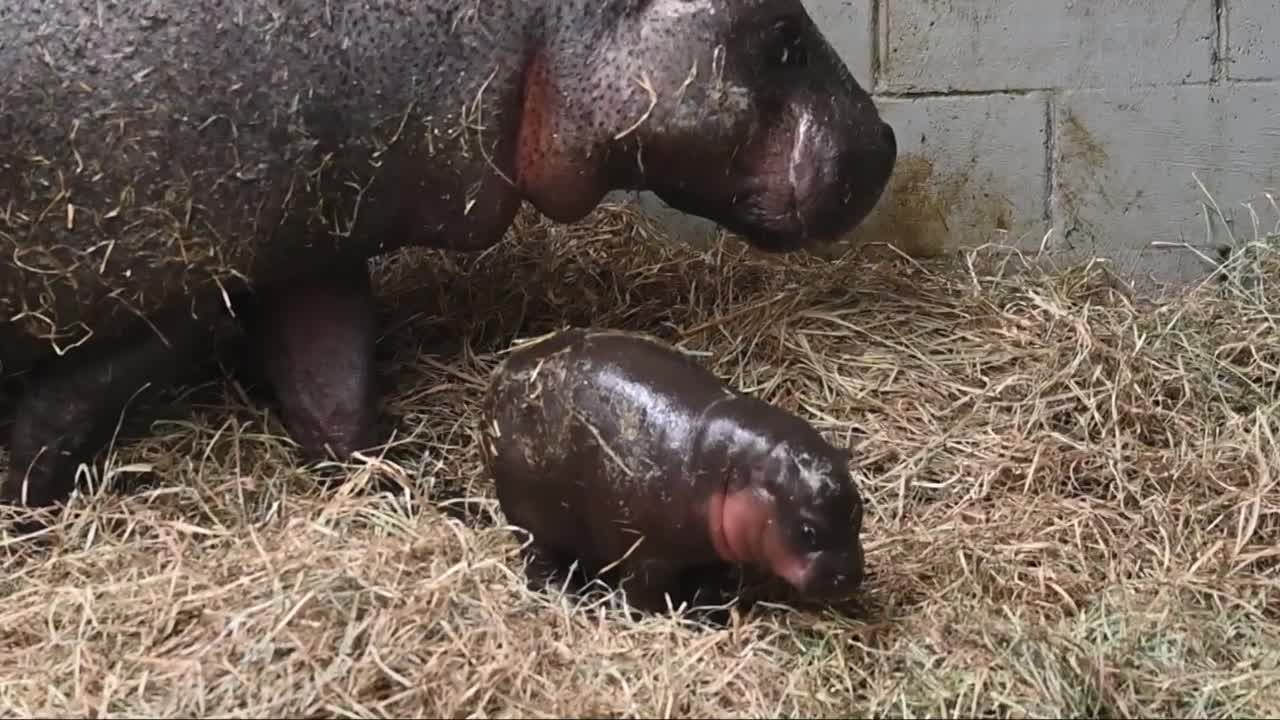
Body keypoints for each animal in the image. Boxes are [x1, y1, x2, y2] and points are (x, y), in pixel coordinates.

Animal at [1, 0, 896, 512]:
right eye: (783, 34)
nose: (887, 142)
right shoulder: (196, 269)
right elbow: (97, 384)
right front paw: (22, 492)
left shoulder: (313, 243)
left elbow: (331, 386)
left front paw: (407, 486)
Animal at [479, 328, 866, 613]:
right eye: (807, 530)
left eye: (859, 513)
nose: (851, 578)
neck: (733, 468)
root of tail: (502, 373)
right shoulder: (649, 557)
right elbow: (645, 594)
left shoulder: (711, 554)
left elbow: (709, 585)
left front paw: (708, 613)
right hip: (528, 517)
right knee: (539, 561)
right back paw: (567, 594)